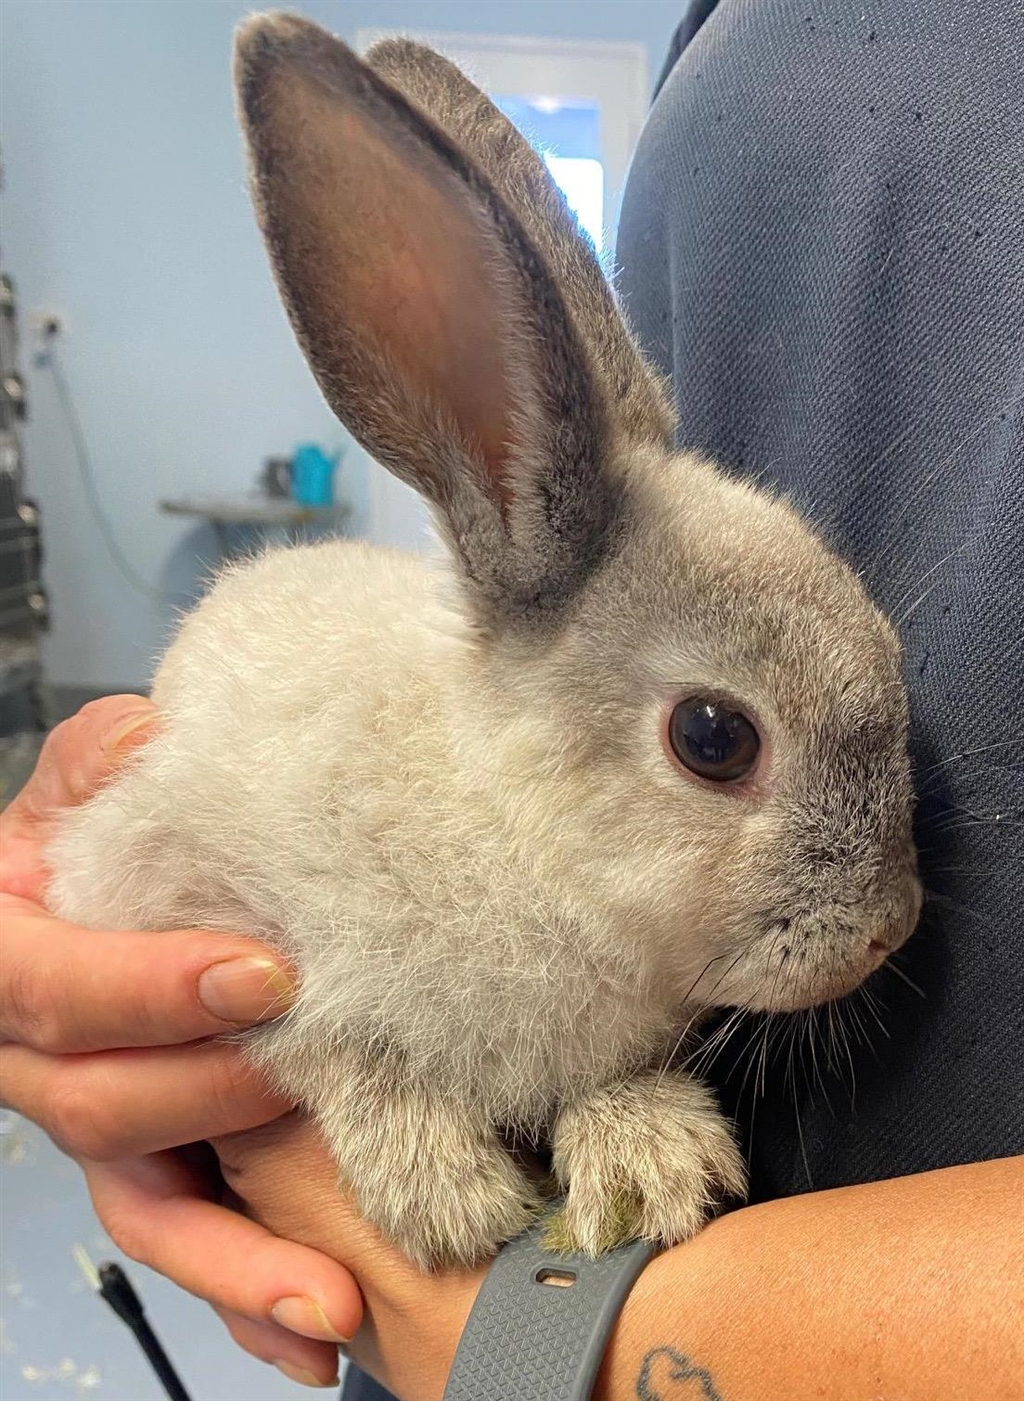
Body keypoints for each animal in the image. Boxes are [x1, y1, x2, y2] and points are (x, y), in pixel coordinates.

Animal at [46, 13, 923, 1270]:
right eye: (714, 738)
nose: (889, 928)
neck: (518, 844)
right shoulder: (187, 906)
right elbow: (319, 1042)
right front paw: (442, 1190)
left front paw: (649, 1162)